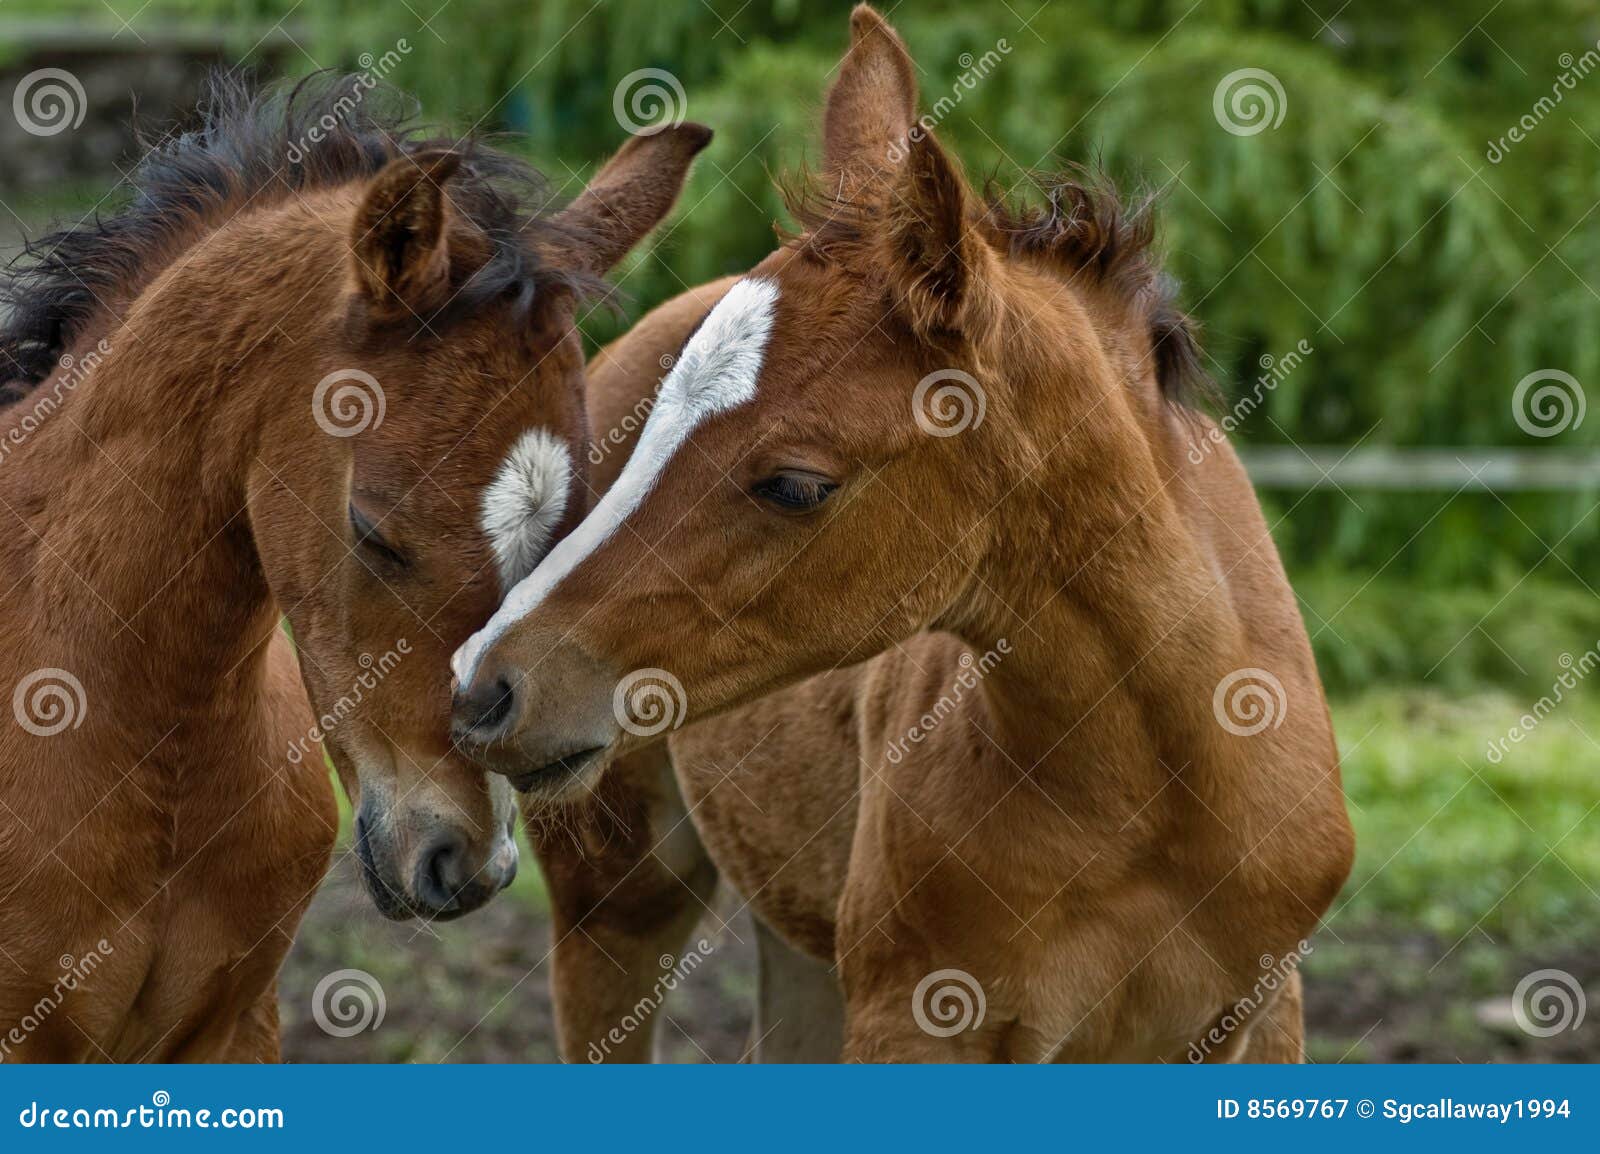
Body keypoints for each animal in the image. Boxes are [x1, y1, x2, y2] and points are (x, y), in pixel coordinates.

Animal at [454, 4, 1355, 1062]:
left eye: (796, 484)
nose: (485, 686)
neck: (1162, 792)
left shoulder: (1262, 1013)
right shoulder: (915, 1012)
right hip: (620, 901)